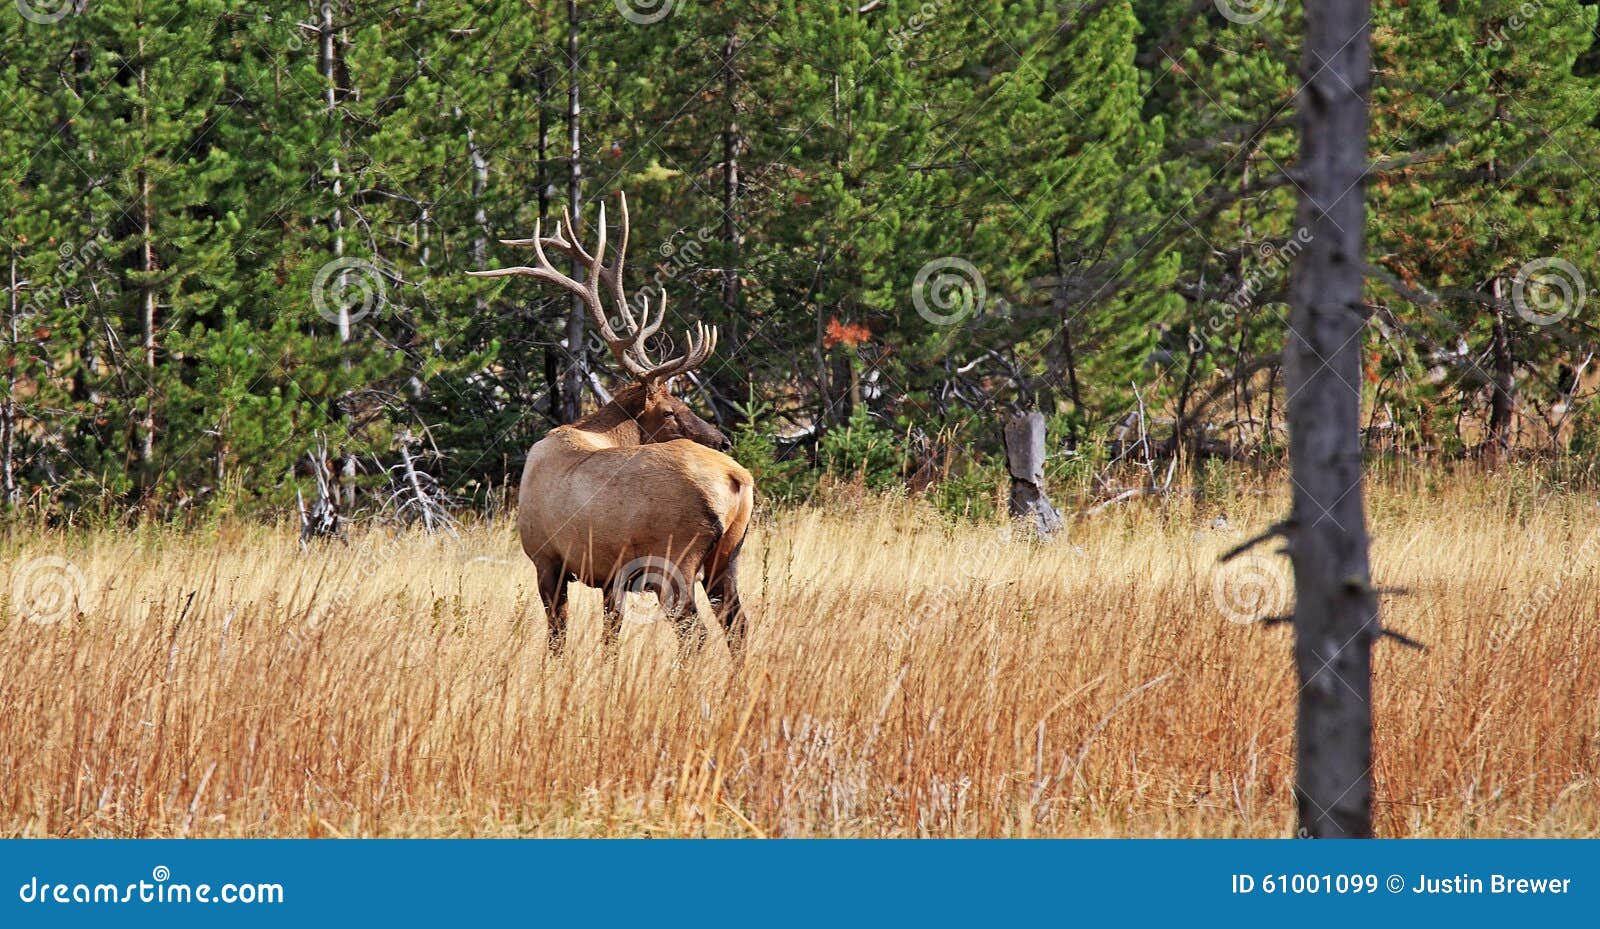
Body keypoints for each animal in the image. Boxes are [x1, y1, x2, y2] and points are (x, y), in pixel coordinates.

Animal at [468, 192, 753, 658]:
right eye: (672, 409)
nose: (722, 439)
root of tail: (737, 480)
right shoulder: (609, 576)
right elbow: (610, 636)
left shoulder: (547, 560)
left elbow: (557, 637)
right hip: (726, 560)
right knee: (738, 627)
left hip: (673, 560)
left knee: (694, 634)